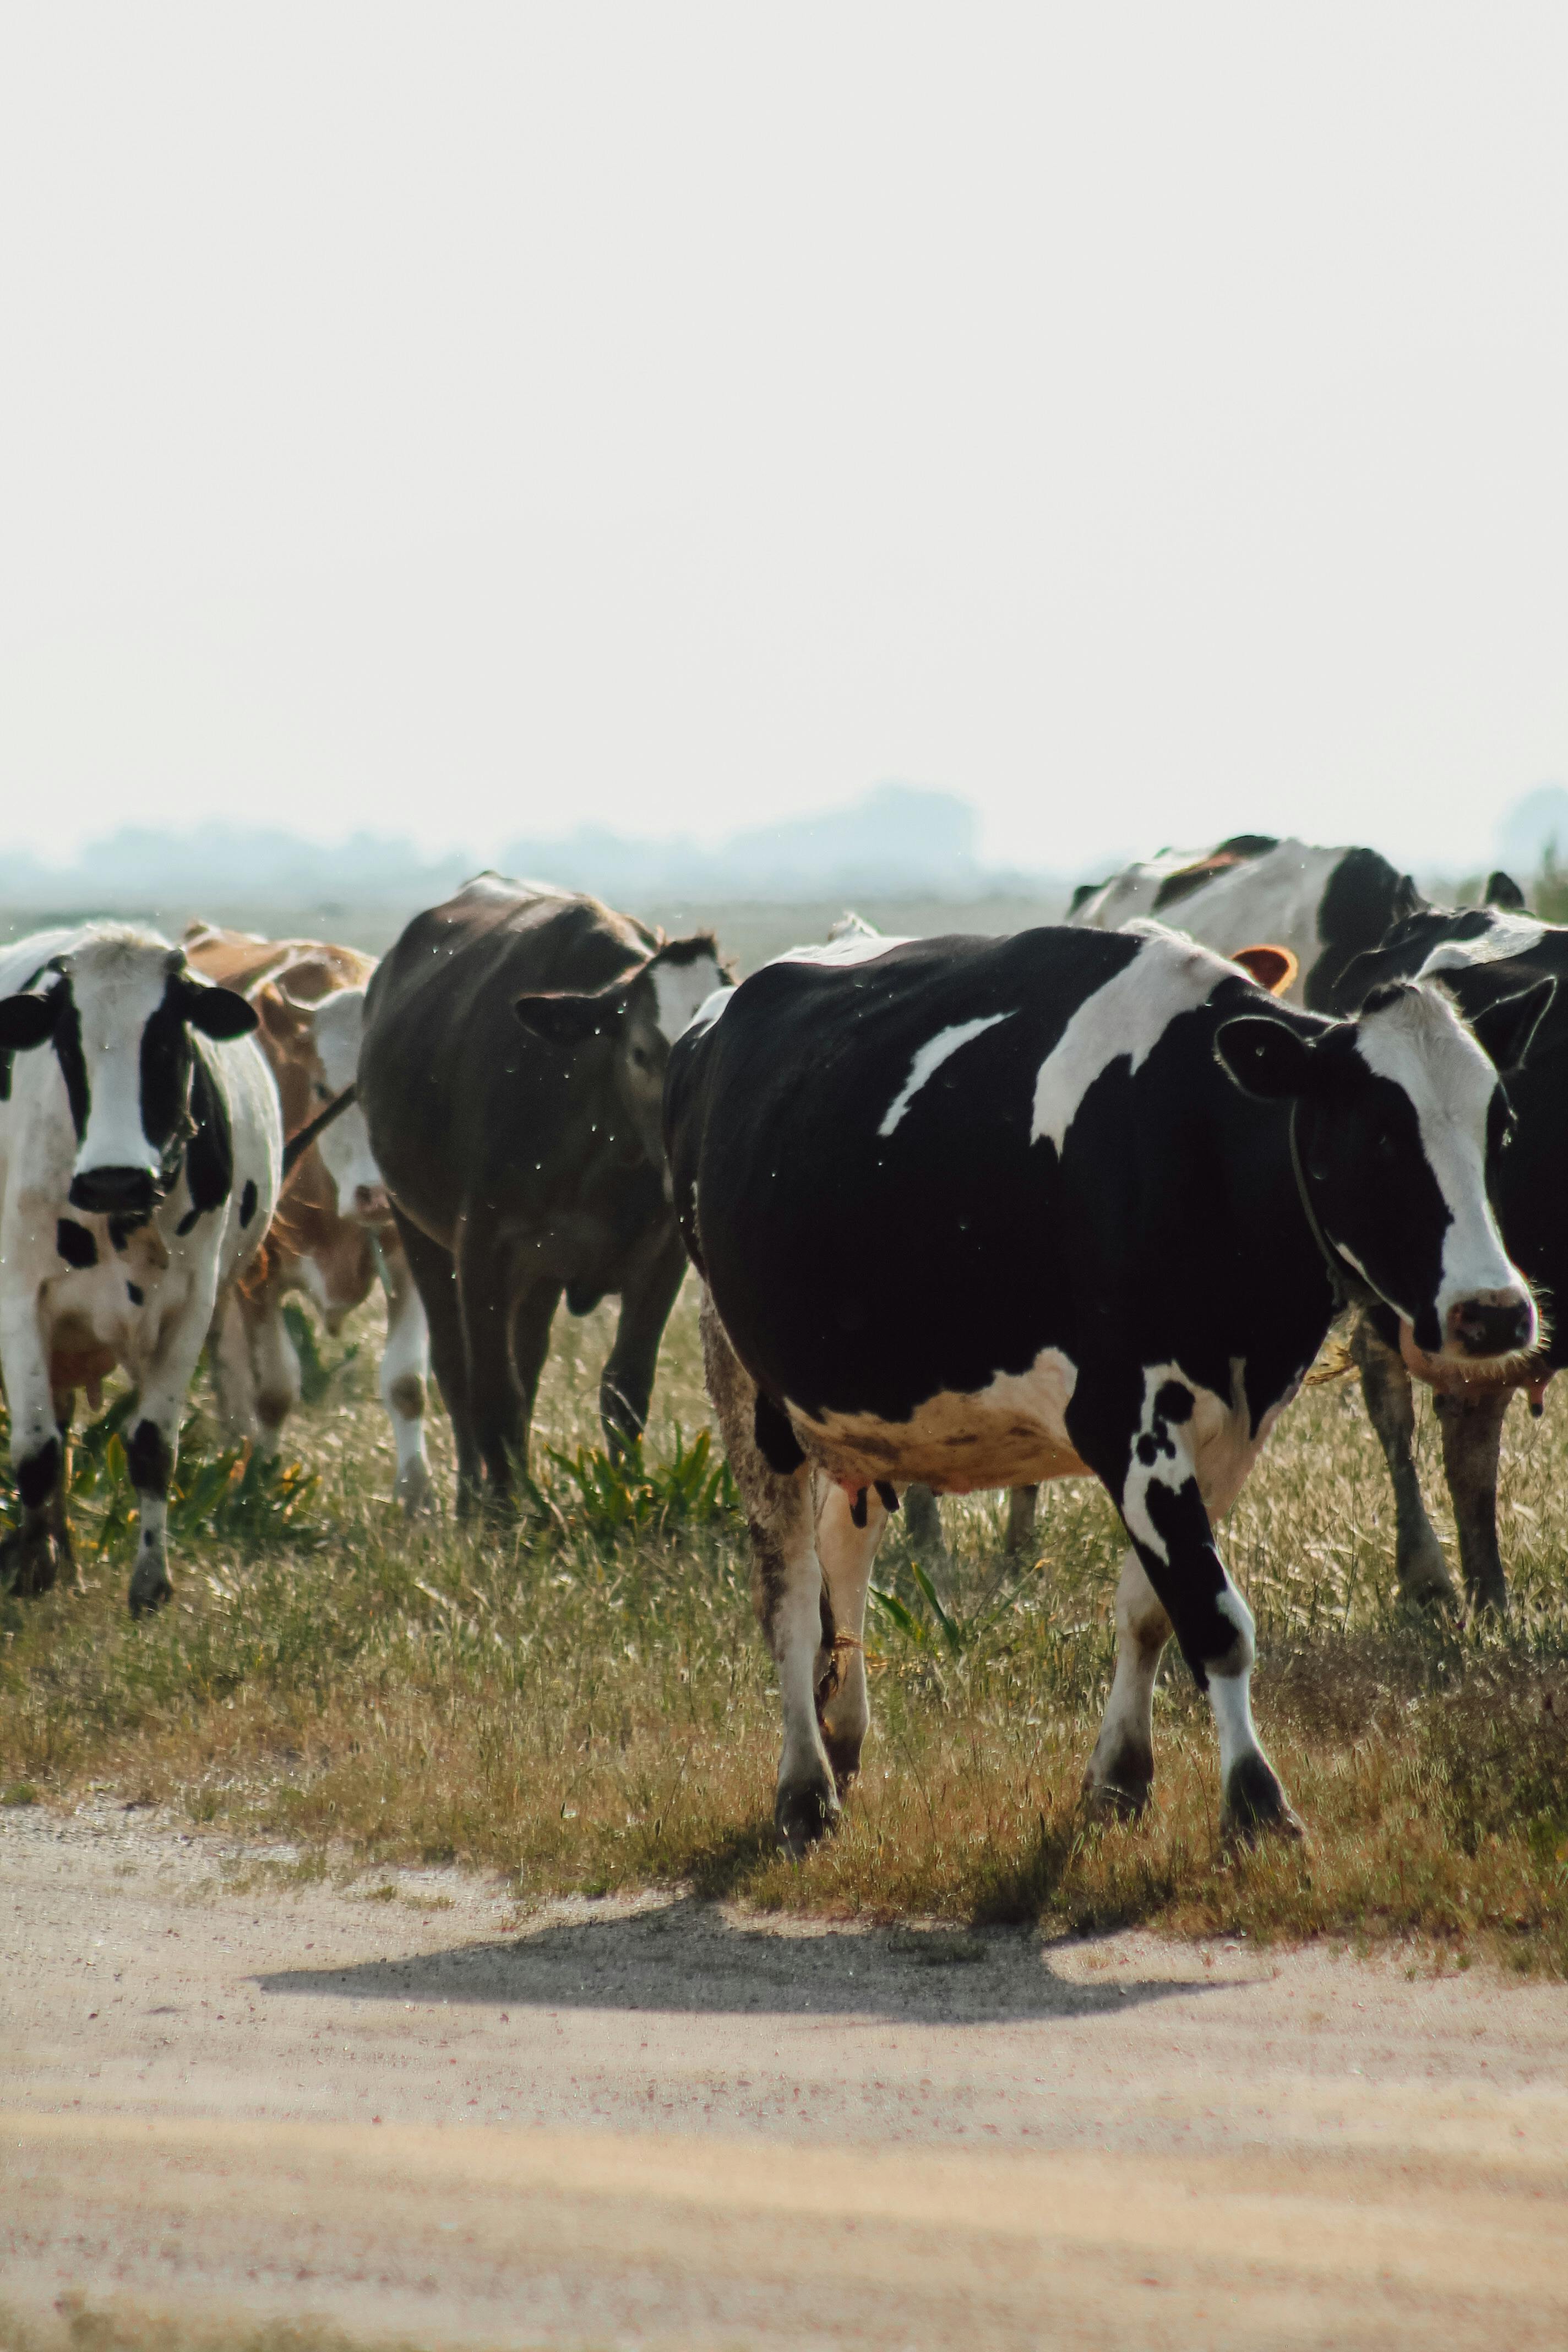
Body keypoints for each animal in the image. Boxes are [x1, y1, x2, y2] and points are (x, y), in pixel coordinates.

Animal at [0, 925, 280, 1612]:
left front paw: (151, 1582)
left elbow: (153, 1447)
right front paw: (29, 1568)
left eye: (167, 1042)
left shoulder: (191, 1308)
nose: (114, 1178)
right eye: (67, 1045)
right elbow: (36, 1451)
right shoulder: (19, 1300)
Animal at [182, 925, 432, 1512]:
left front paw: (417, 1496)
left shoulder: (410, 1263)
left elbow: (407, 1385)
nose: (379, 1195)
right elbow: (274, 1389)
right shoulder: (259, 1278)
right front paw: (262, 1482)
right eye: (322, 1088)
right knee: (226, 1358)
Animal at [357, 875, 728, 1513]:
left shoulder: (663, 1258)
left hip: (539, 1274)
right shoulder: (482, 1248)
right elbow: (490, 1388)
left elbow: (623, 1390)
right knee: (457, 1370)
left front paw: (625, 1496)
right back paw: (474, 1499)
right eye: (642, 1053)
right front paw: (506, 1515)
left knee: (526, 1363)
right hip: (416, 1227)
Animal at [664, 919, 1547, 1850]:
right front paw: (1256, 1802)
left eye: (1501, 1128)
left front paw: (1121, 1777)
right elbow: (1213, 1617)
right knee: (790, 1592)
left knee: (846, 1555)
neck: (1198, 1144)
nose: (1495, 1313)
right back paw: (805, 1786)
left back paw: (845, 1737)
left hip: (860, 1414)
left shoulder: (1235, 1430)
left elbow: (1153, 1608)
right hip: (746, 1387)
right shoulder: (1128, 1419)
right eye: (1380, 1135)